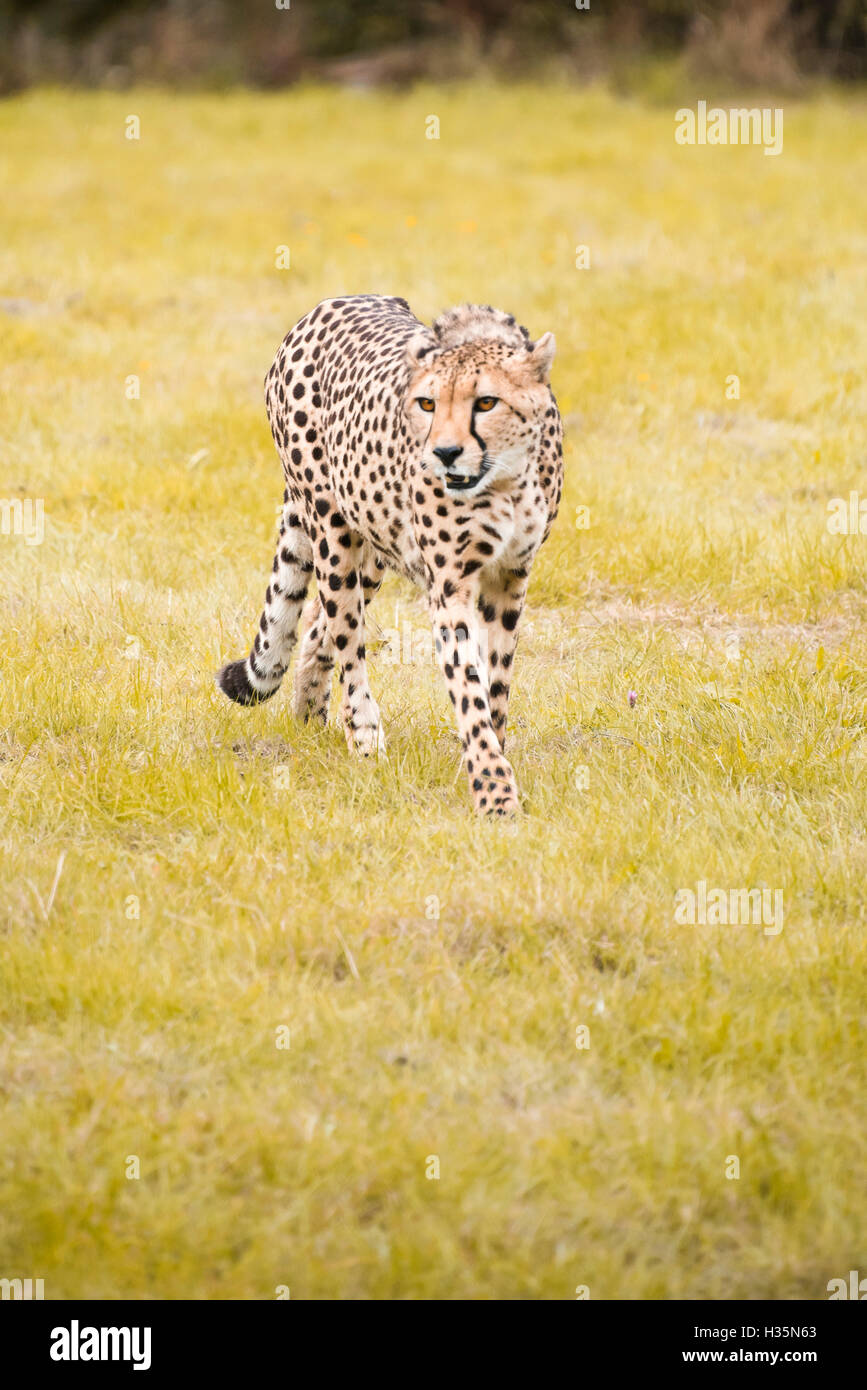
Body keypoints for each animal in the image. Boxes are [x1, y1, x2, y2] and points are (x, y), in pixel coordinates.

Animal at [217, 294, 563, 814]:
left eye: (486, 402)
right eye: (427, 403)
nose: (444, 452)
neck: (504, 479)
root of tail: (327, 304)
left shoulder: (510, 577)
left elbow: (496, 685)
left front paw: (492, 758)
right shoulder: (450, 585)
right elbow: (469, 688)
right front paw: (493, 791)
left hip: (376, 547)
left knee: (318, 623)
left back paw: (310, 716)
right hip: (333, 531)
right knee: (344, 633)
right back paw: (362, 733)